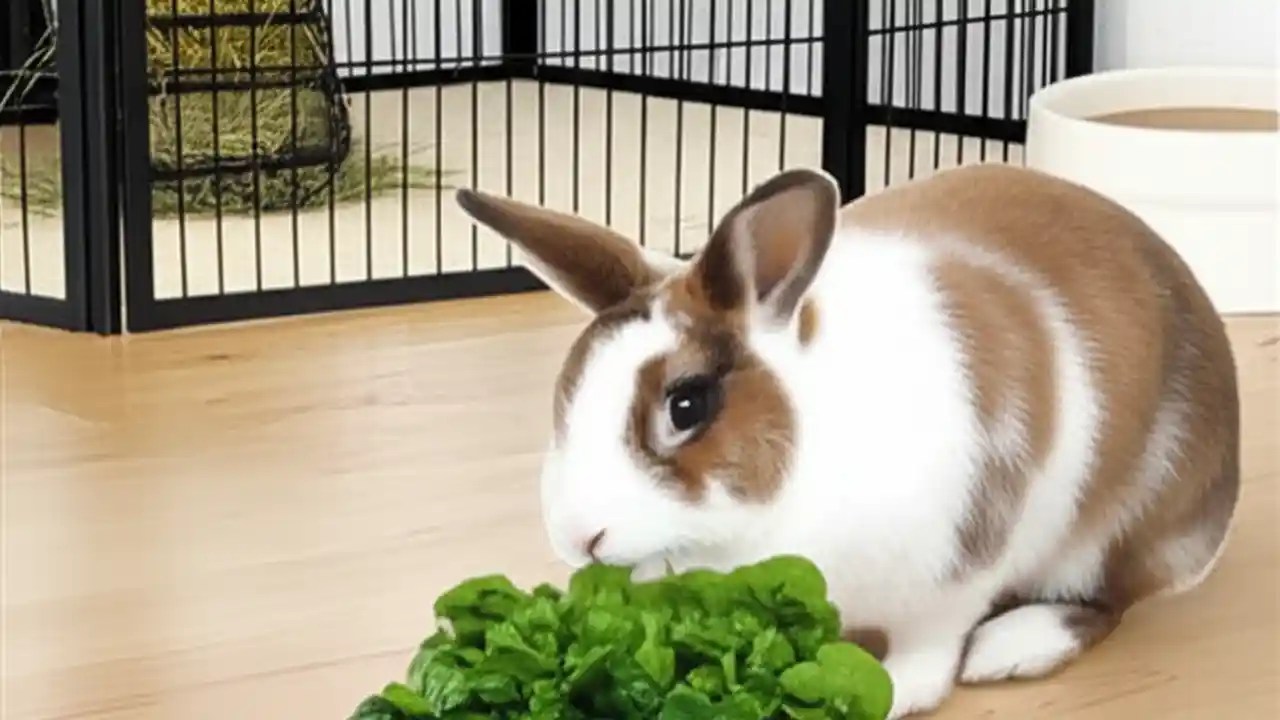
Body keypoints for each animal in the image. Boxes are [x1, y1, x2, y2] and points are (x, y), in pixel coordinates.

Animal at [455, 162, 1239, 719]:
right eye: (568, 390)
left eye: (687, 405)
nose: (579, 538)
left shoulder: (958, 567)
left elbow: (925, 659)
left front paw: (889, 695)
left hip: (1119, 528)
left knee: (1108, 602)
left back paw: (1009, 650)